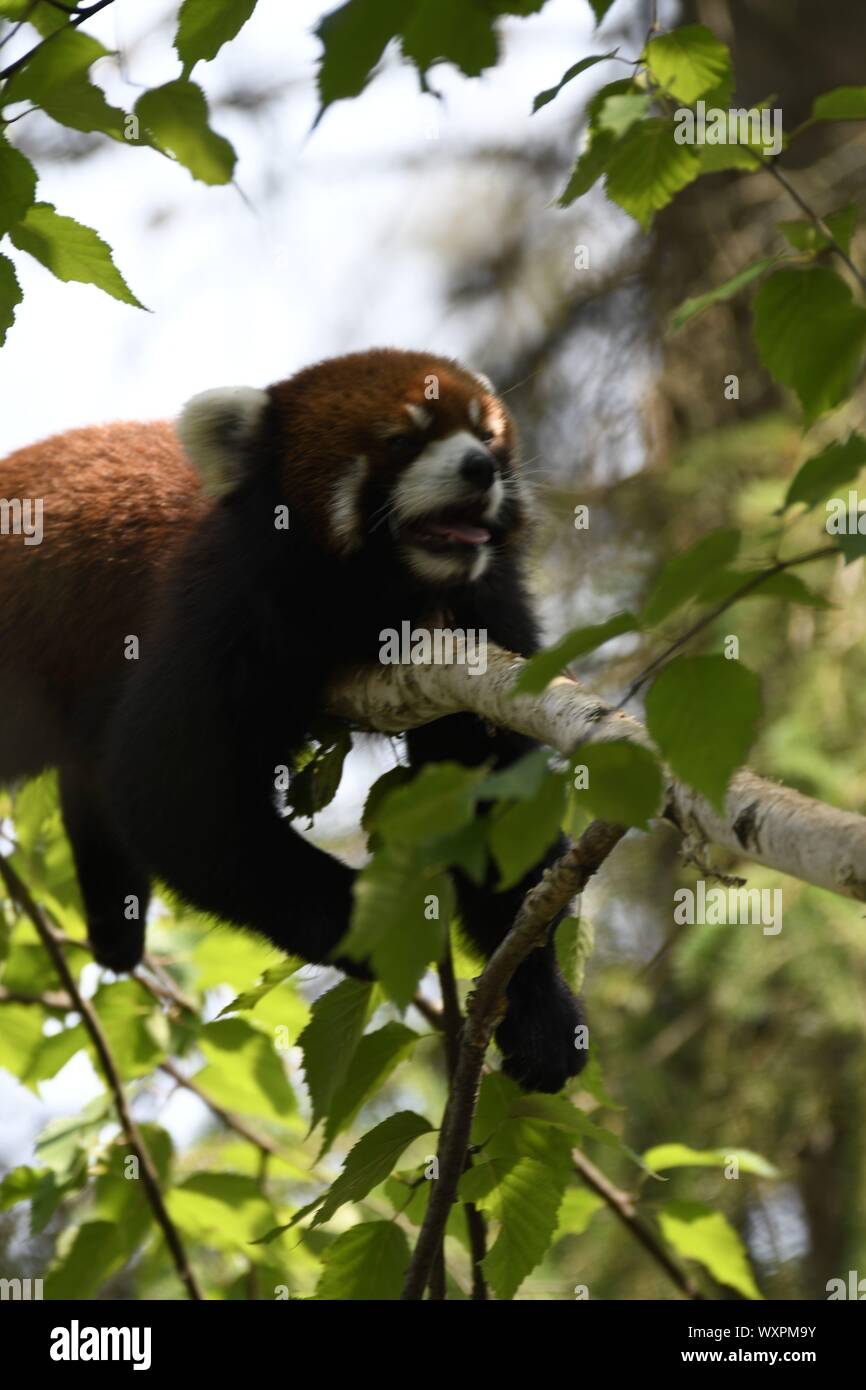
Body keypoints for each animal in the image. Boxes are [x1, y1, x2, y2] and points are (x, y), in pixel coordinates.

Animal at [0, 348, 586, 1093]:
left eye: (486, 435)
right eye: (403, 441)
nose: (481, 468)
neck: (372, 600)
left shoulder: (482, 621)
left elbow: (500, 803)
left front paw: (538, 1008)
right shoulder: (223, 613)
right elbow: (173, 799)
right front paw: (374, 927)